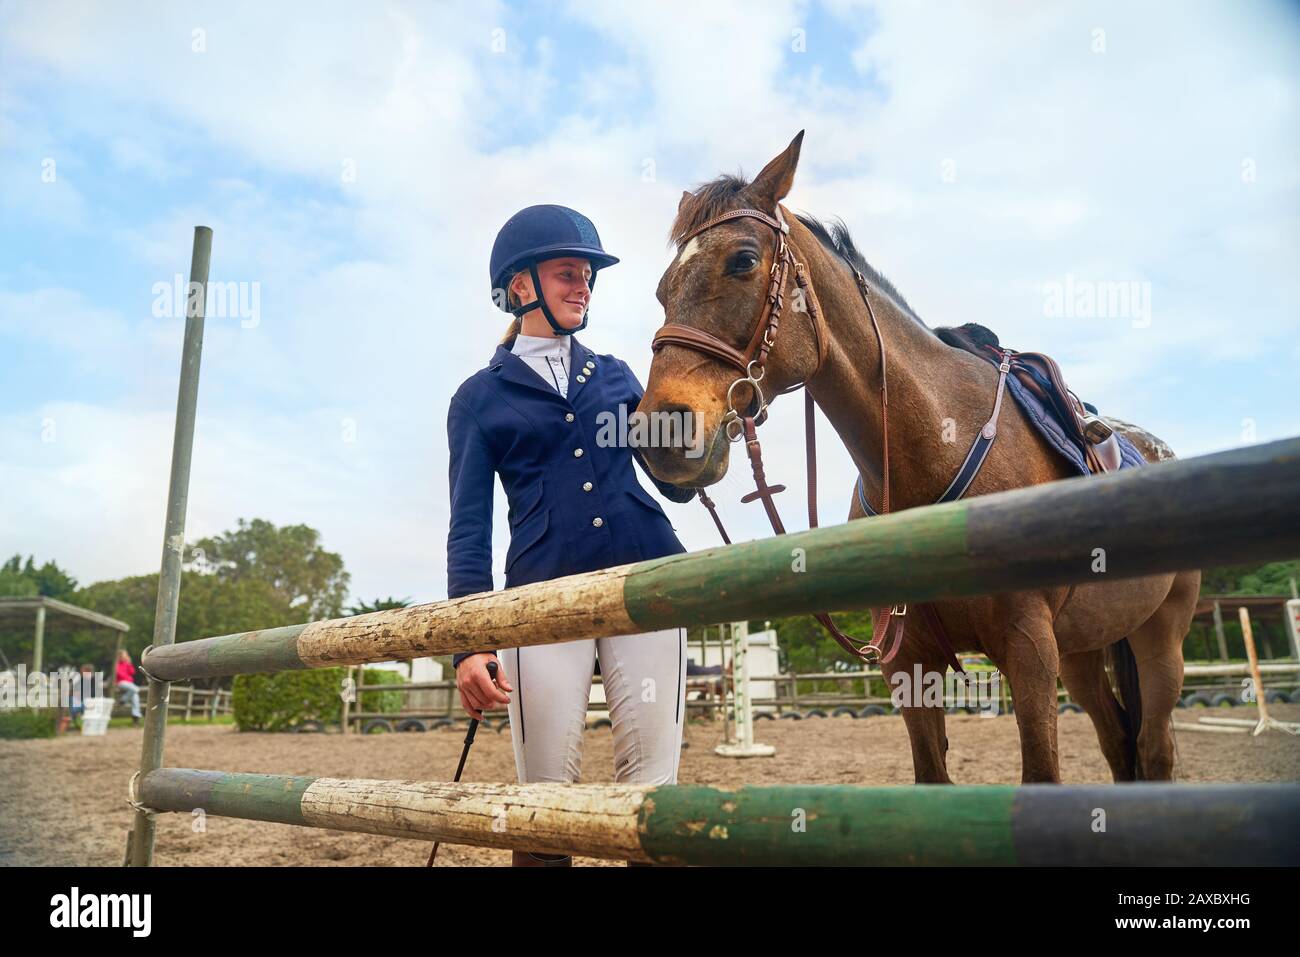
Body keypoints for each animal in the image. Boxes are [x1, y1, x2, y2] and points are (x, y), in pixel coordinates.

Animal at [634, 131, 1199, 784]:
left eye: (743, 261)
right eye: (661, 289)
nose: (658, 432)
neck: (932, 447)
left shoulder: (1030, 652)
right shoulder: (909, 664)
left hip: (1160, 640)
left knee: (1154, 750)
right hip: (1082, 653)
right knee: (1117, 744)